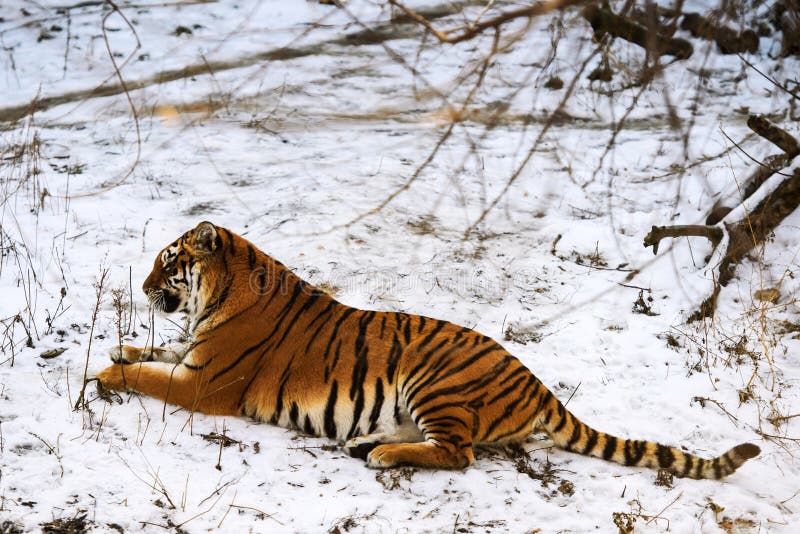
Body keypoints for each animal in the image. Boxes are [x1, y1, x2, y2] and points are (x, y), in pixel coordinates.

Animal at [96, 221, 760, 478]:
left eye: (169, 262)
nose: (145, 287)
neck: (219, 296)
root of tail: (536, 382)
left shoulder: (207, 384)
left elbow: (150, 377)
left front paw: (104, 374)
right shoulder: (192, 359)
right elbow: (154, 356)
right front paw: (121, 349)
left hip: (434, 381)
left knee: (458, 454)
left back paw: (382, 457)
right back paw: (365, 445)